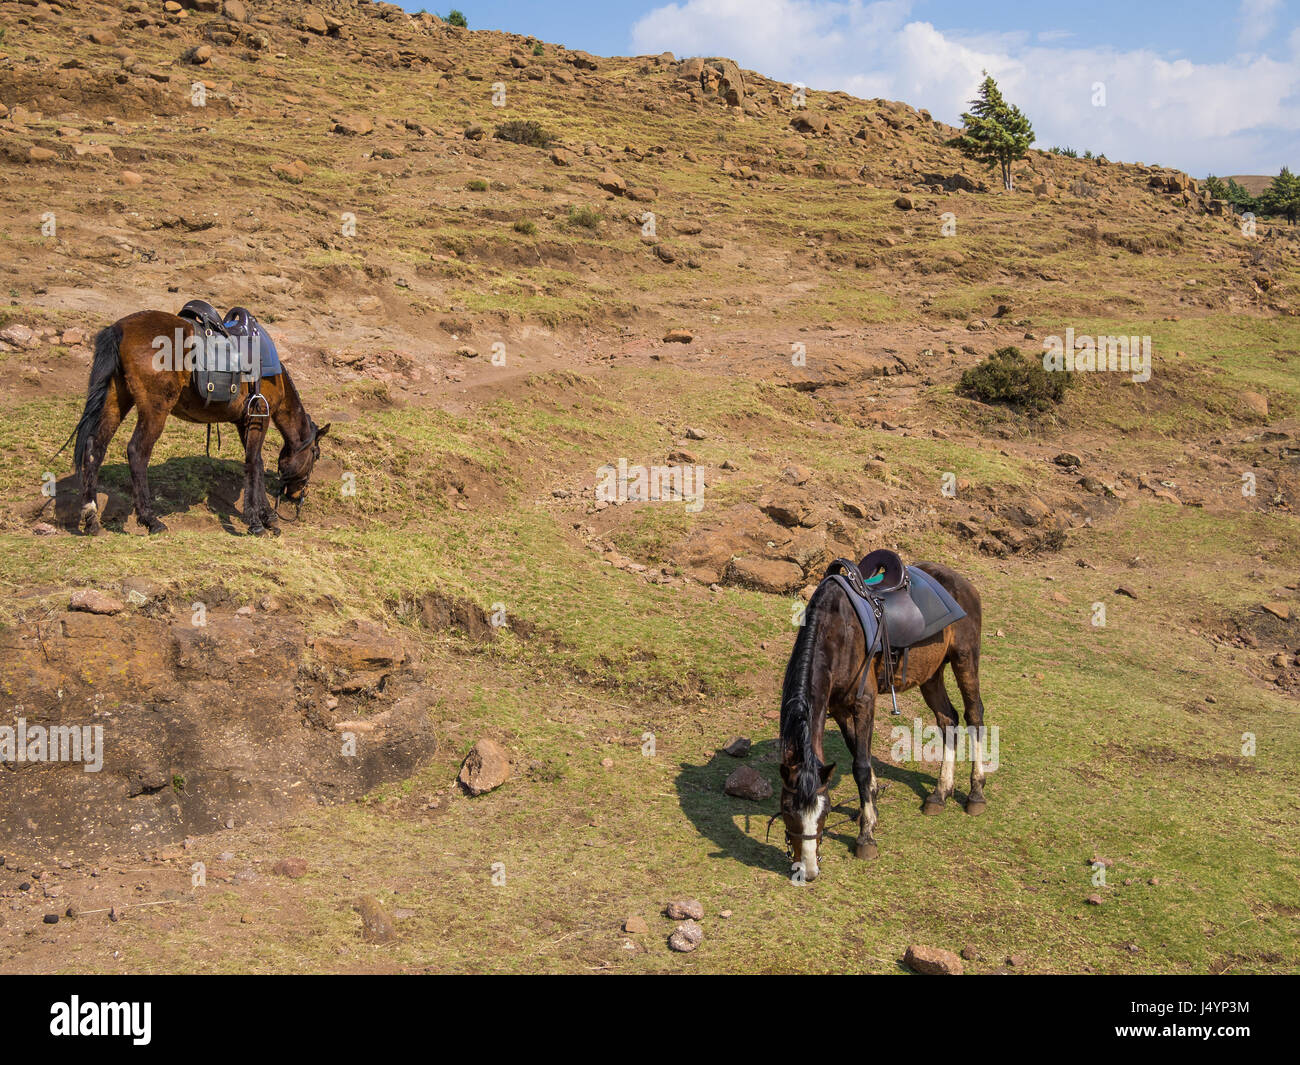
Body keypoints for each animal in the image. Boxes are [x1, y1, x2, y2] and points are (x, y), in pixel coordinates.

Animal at [65, 309, 328, 536]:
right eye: (315, 455)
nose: (299, 494)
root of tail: (120, 328)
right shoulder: (258, 417)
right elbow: (254, 464)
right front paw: (256, 521)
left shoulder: (244, 422)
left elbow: (258, 463)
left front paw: (267, 517)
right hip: (155, 408)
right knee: (137, 452)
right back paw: (150, 520)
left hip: (116, 399)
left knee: (95, 448)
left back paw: (91, 517)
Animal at [776, 559, 988, 881]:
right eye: (788, 809)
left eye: (825, 811)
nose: (807, 869)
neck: (837, 633)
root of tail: (961, 581)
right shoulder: (838, 707)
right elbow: (856, 753)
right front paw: (871, 809)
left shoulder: (864, 701)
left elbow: (861, 766)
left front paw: (866, 836)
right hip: (930, 674)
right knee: (947, 719)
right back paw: (940, 793)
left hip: (965, 657)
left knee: (974, 714)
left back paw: (975, 793)